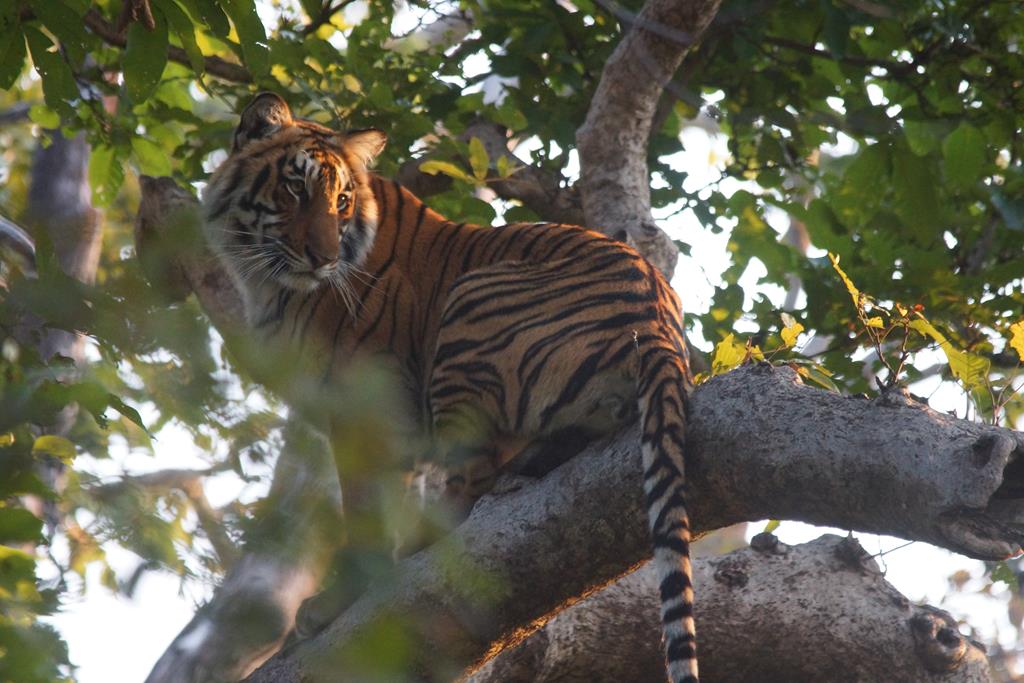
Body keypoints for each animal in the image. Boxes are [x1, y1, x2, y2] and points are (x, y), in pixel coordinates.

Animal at [202, 92, 699, 683]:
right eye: (295, 188)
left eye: (341, 200)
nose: (323, 258)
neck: (266, 279)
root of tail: (660, 329)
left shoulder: (365, 403)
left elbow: (365, 509)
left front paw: (338, 601)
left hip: (470, 303)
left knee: (470, 481)